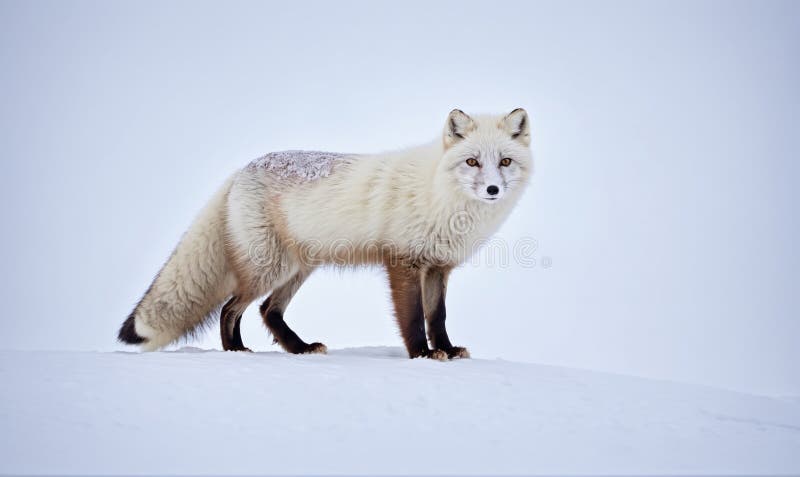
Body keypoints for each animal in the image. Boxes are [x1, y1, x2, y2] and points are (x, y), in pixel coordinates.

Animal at [118, 108, 532, 360]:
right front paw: (422, 355)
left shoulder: (438, 268)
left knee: (268, 311)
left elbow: (438, 317)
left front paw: (445, 350)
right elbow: (414, 318)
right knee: (230, 308)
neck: (441, 197)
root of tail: (241, 170)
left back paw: (299, 348)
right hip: (269, 269)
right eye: (472, 161)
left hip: (297, 270)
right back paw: (236, 352)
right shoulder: (403, 263)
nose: (493, 190)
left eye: (505, 161)